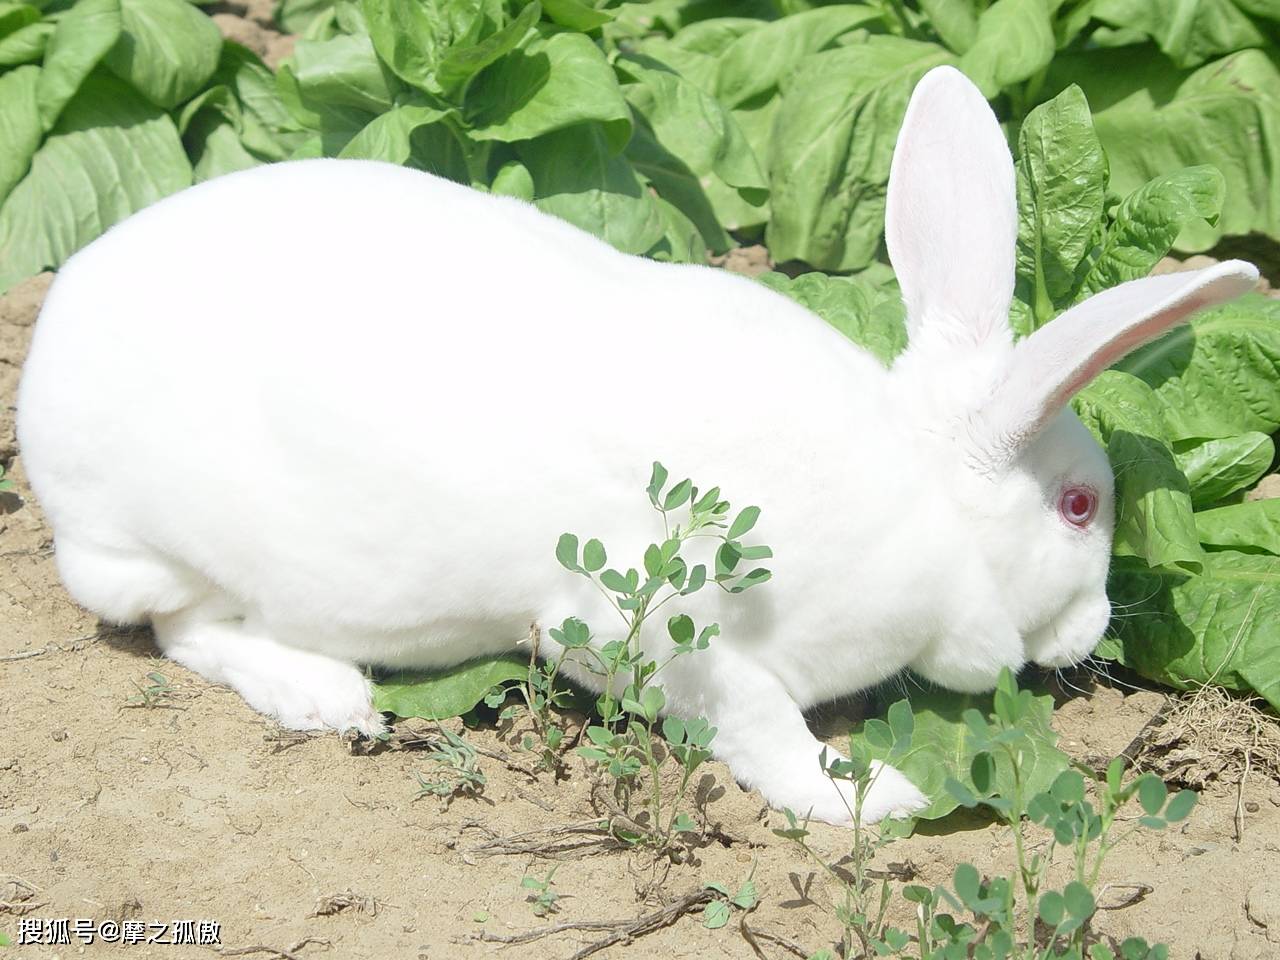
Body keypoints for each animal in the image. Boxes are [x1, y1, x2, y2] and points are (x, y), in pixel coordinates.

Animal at [17, 65, 1259, 829]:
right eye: (1077, 509)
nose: (1091, 633)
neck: (920, 499)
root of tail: (43, 371)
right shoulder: (676, 637)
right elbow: (759, 730)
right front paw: (868, 795)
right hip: (178, 547)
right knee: (183, 630)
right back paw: (328, 698)